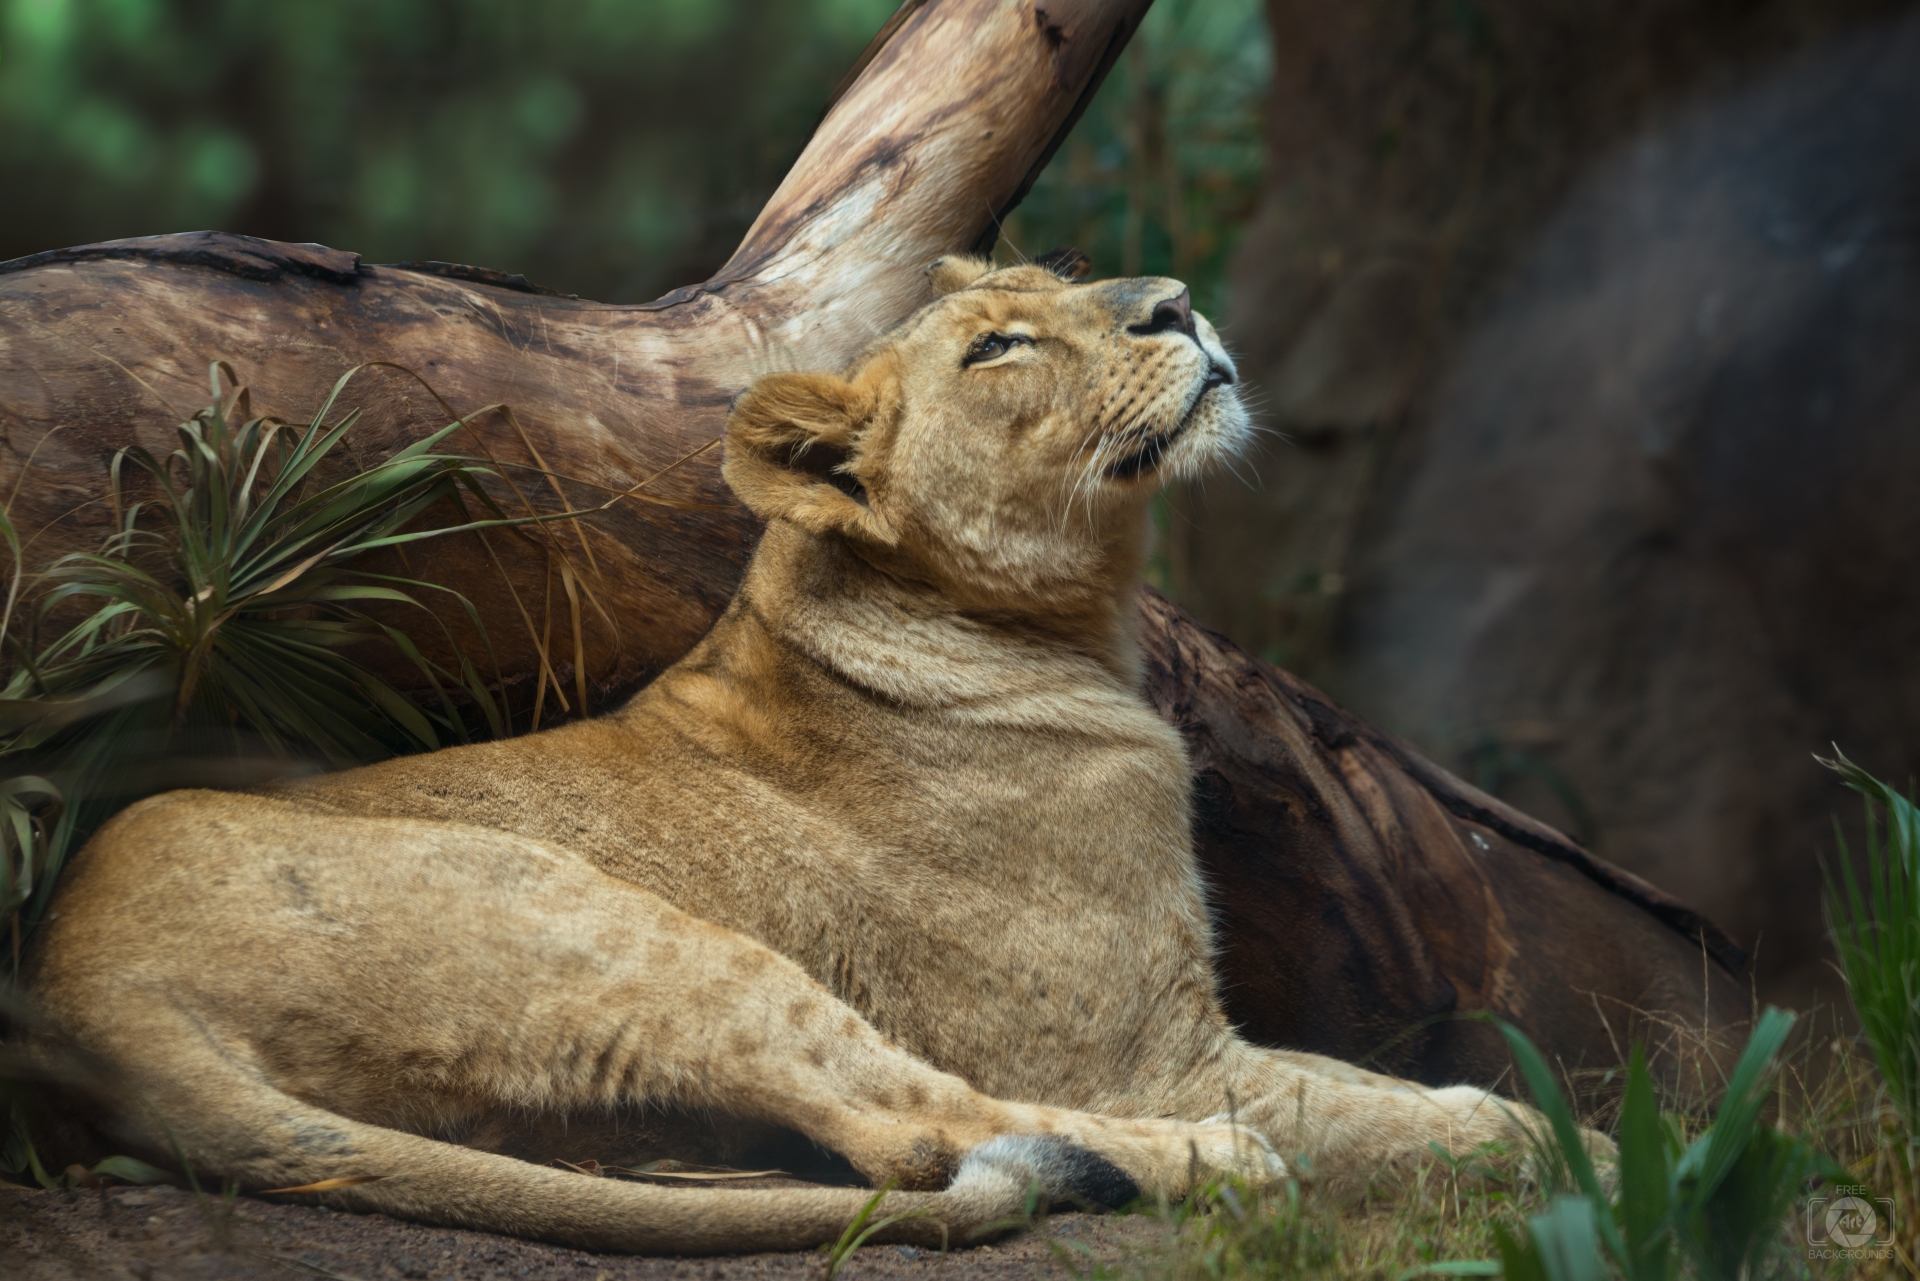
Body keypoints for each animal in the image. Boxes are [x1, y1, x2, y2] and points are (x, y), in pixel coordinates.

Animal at [21, 256, 1544, 1254]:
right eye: (999, 347)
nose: (1177, 302)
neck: (1066, 627)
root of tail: (80, 985)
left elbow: (1370, 1087)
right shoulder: (1142, 1053)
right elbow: (1383, 1110)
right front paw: (1533, 1143)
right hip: (617, 921)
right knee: (917, 1128)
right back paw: (1216, 1162)